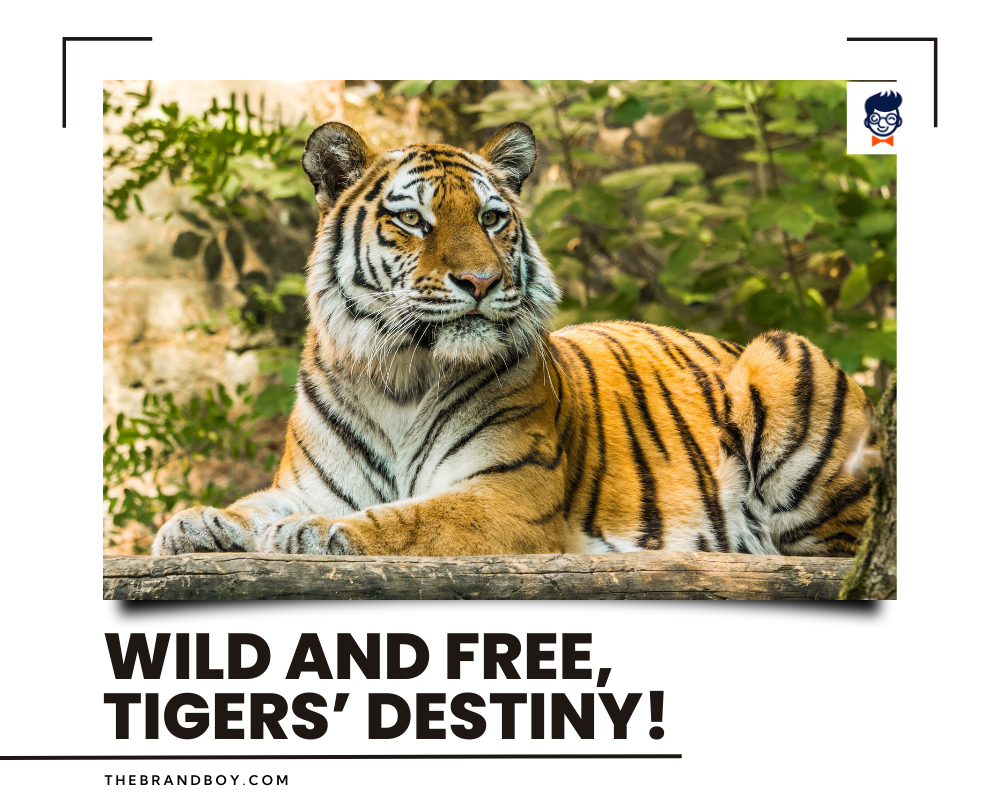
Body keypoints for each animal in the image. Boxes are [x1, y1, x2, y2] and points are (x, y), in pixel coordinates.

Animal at [152, 121, 876, 559]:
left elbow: (411, 517)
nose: (480, 279)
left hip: (782, 360)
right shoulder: (312, 480)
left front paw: (314, 533)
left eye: (492, 218)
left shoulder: (510, 495)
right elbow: (254, 503)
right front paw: (195, 522)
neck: (399, 372)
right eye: (413, 220)